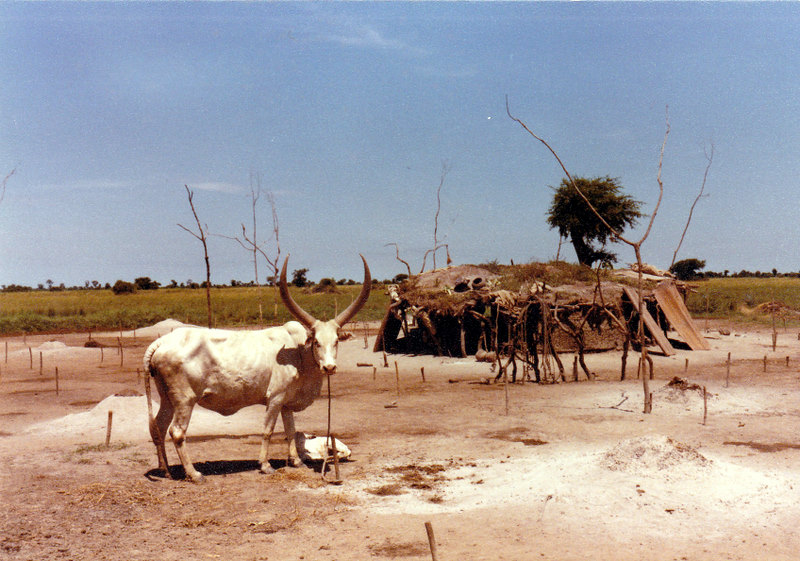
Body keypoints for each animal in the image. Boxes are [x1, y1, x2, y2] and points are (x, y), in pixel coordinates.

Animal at [143, 254, 371, 482]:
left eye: (336, 341)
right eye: (316, 342)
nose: (329, 367)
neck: (298, 352)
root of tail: (163, 341)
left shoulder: (286, 403)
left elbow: (290, 429)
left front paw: (296, 461)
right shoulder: (275, 398)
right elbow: (268, 430)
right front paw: (265, 465)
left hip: (167, 398)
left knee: (159, 427)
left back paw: (165, 470)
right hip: (185, 400)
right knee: (177, 432)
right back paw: (193, 473)